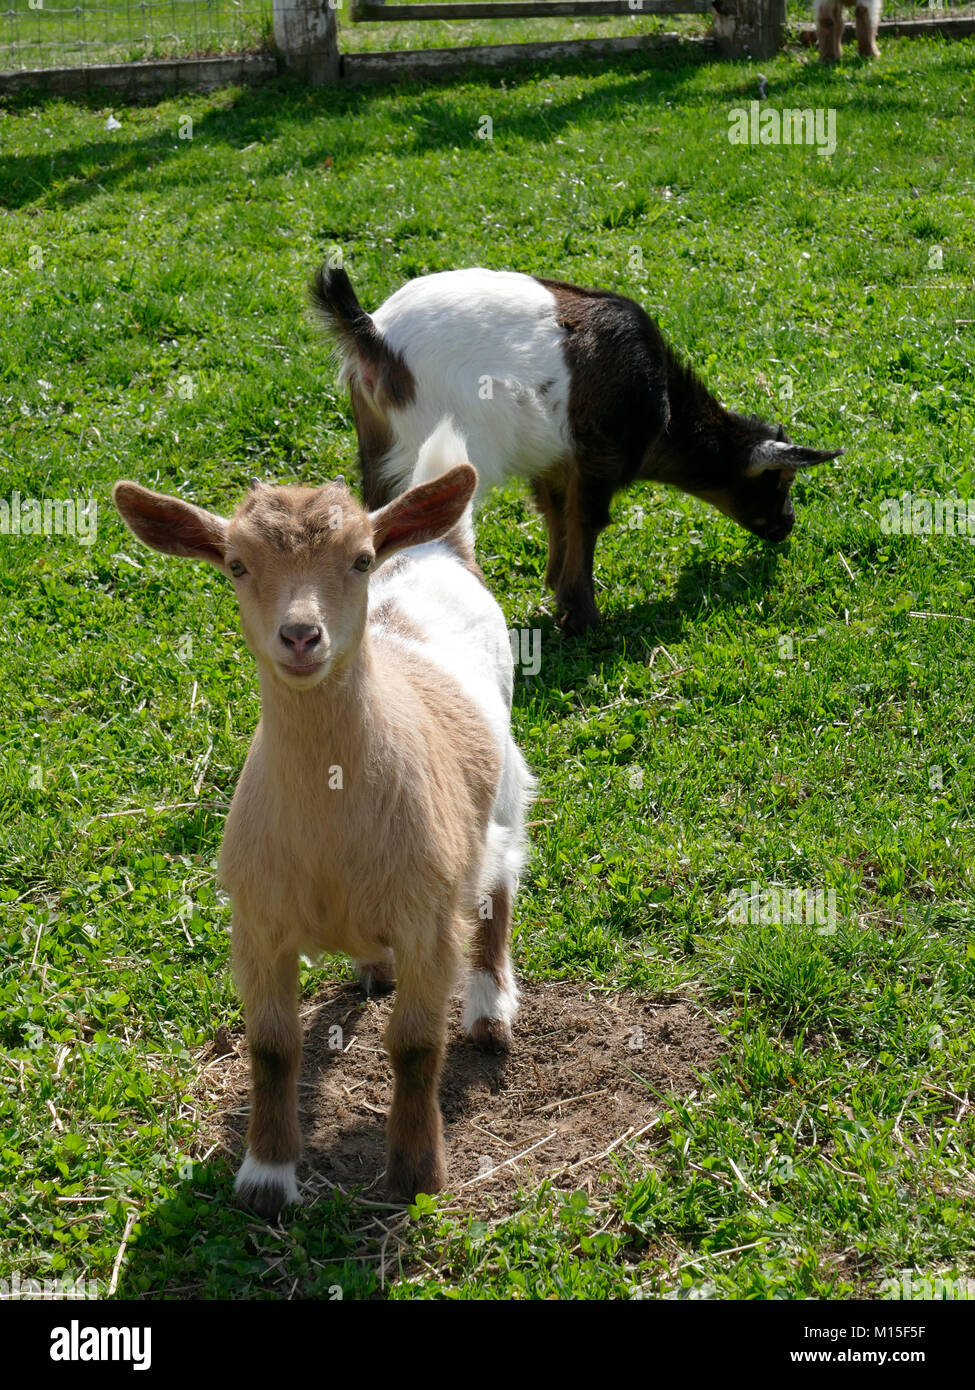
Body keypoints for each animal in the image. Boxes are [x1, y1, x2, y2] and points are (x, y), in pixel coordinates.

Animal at [112, 421, 535, 1219]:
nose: (301, 635)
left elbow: (415, 1047)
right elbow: (273, 1048)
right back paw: (373, 970)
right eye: (236, 565)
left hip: (502, 788)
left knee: (499, 882)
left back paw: (490, 1010)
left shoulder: (428, 918)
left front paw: (415, 1175)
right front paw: (265, 1178)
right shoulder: (257, 921)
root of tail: (438, 549)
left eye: (361, 559)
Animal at [312, 265, 843, 636]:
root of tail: (372, 336)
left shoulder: (555, 459)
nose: (786, 526)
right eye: (780, 481)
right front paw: (583, 615)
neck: (663, 410)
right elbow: (588, 521)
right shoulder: (599, 457)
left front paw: (555, 585)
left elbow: (555, 512)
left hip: (377, 447)